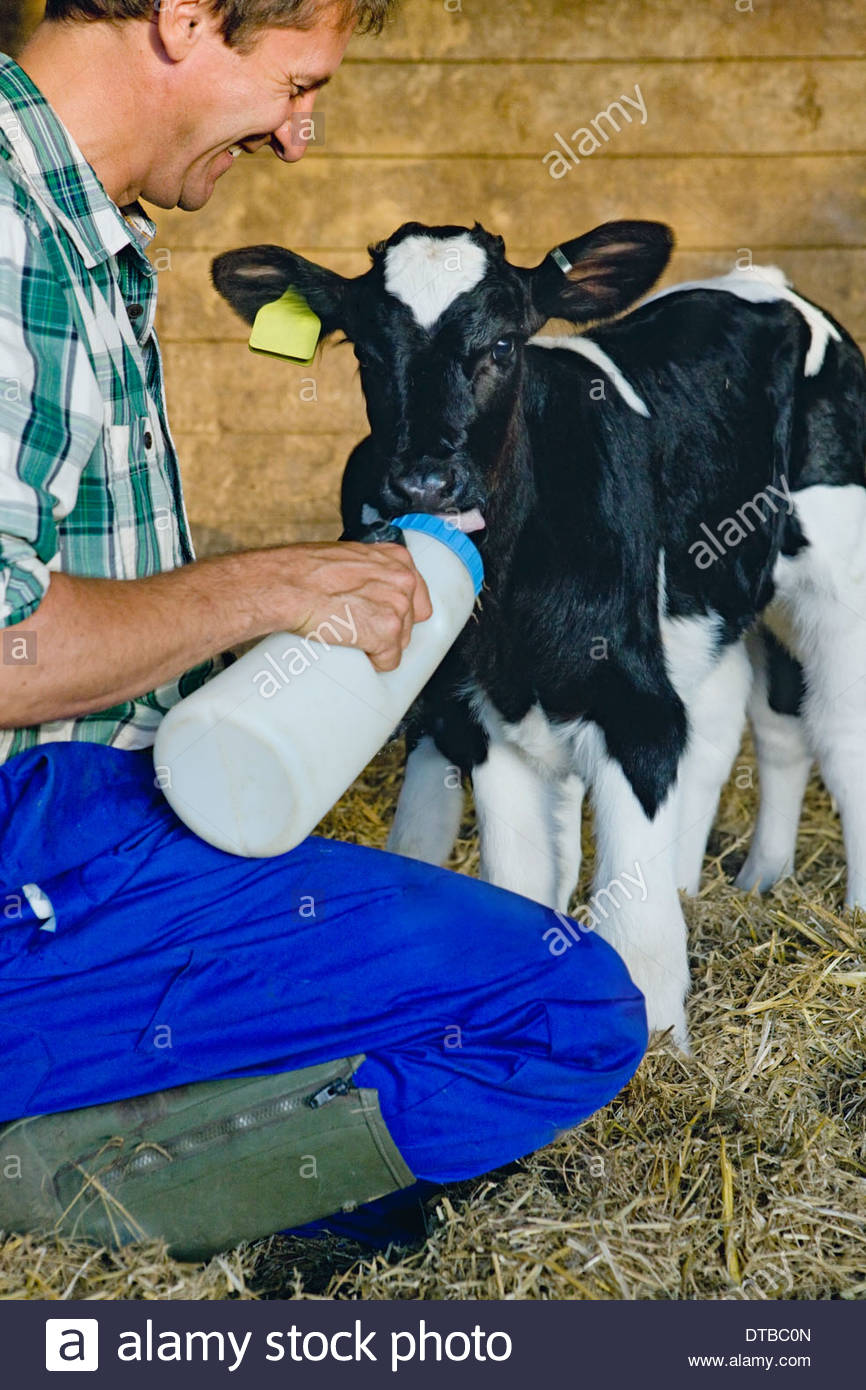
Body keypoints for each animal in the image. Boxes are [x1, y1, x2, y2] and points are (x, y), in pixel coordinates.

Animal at [212, 219, 866, 1049]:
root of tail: (768, 283)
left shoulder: (635, 712)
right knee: (757, 720)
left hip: (838, 578)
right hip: (715, 605)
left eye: (501, 344)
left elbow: (636, 926)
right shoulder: (482, 720)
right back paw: (749, 877)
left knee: (840, 733)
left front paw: (659, 1049)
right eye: (364, 351)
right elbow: (522, 882)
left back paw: (851, 909)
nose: (423, 482)